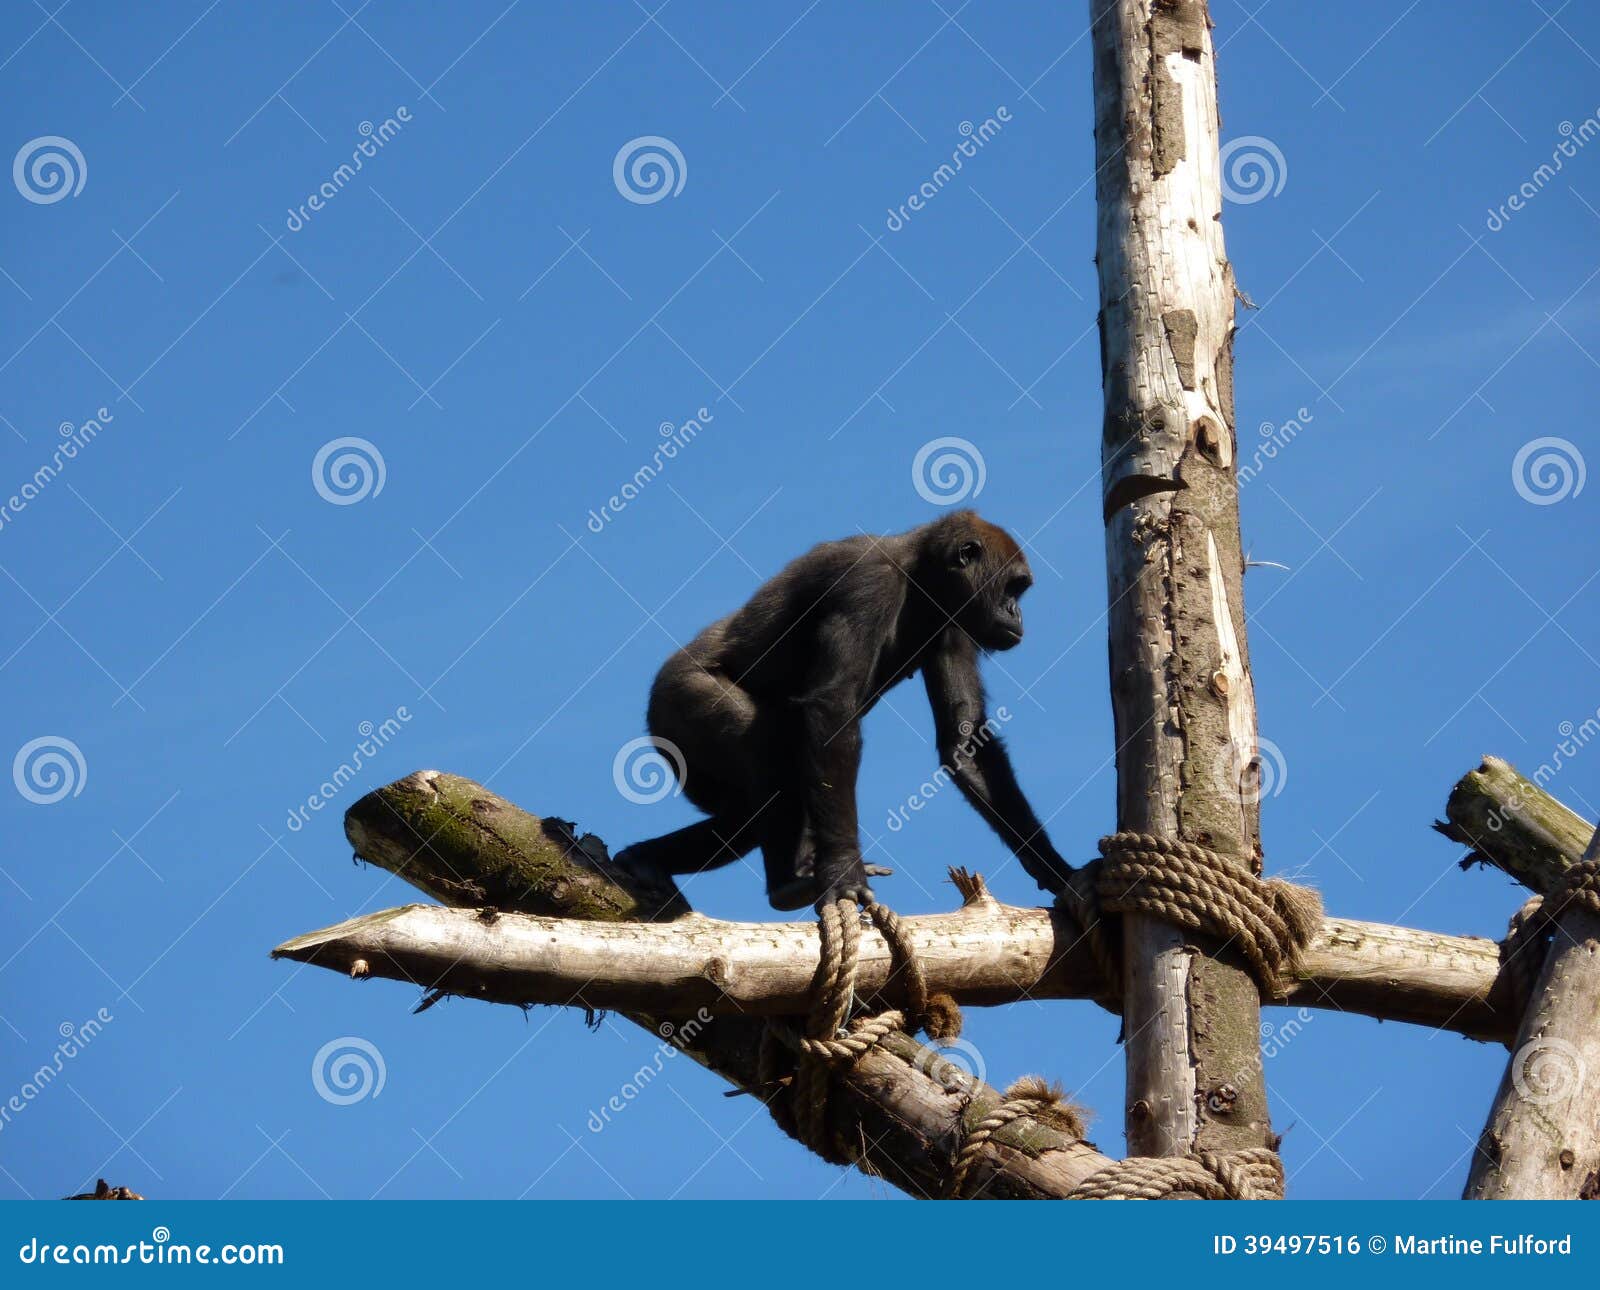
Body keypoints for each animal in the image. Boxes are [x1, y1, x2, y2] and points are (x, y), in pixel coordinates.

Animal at [614, 510, 1073, 912]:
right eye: (1013, 588)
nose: (1017, 614)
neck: (920, 572)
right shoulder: (868, 582)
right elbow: (834, 708)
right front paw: (843, 872)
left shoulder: (956, 620)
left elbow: (965, 743)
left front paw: (1058, 871)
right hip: (676, 701)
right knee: (766, 747)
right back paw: (787, 886)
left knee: (741, 820)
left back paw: (645, 857)